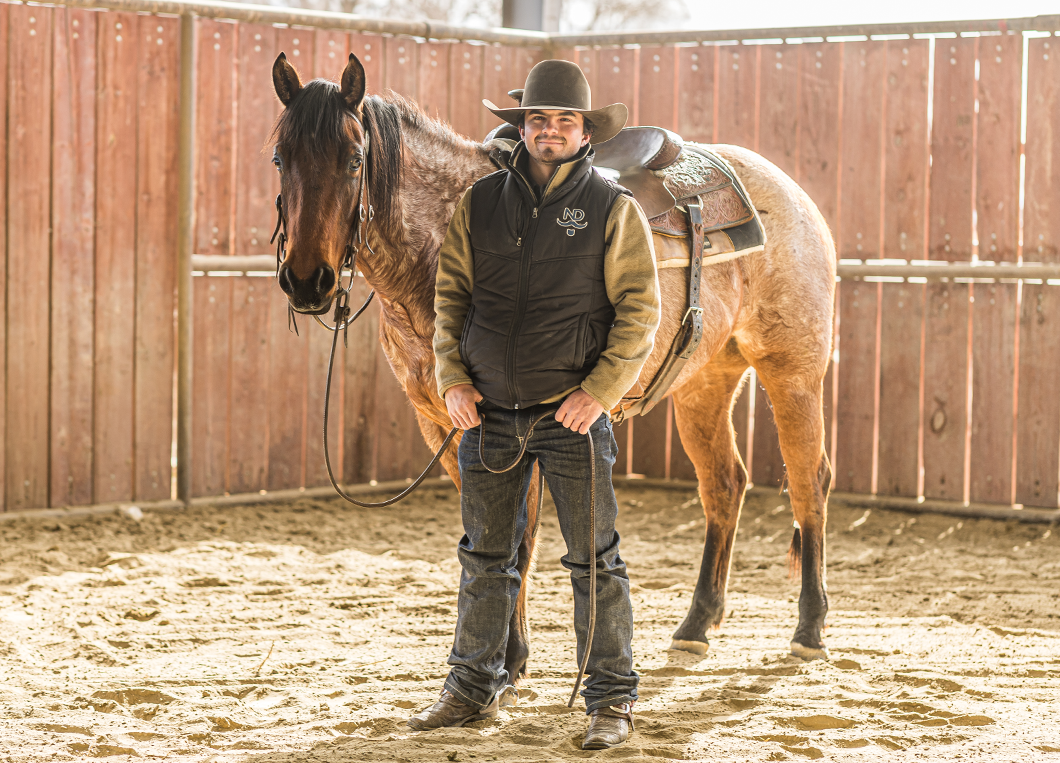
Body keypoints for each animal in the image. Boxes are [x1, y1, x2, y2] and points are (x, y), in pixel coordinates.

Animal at [268, 51, 836, 683]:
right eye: (280, 159)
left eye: (354, 160)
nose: (307, 281)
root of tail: (787, 190)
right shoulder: (441, 427)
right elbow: (486, 539)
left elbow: (519, 541)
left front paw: (510, 661)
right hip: (705, 383)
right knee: (725, 485)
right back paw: (696, 625)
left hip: (794, 372)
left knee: (809, 481)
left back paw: (809, 628)